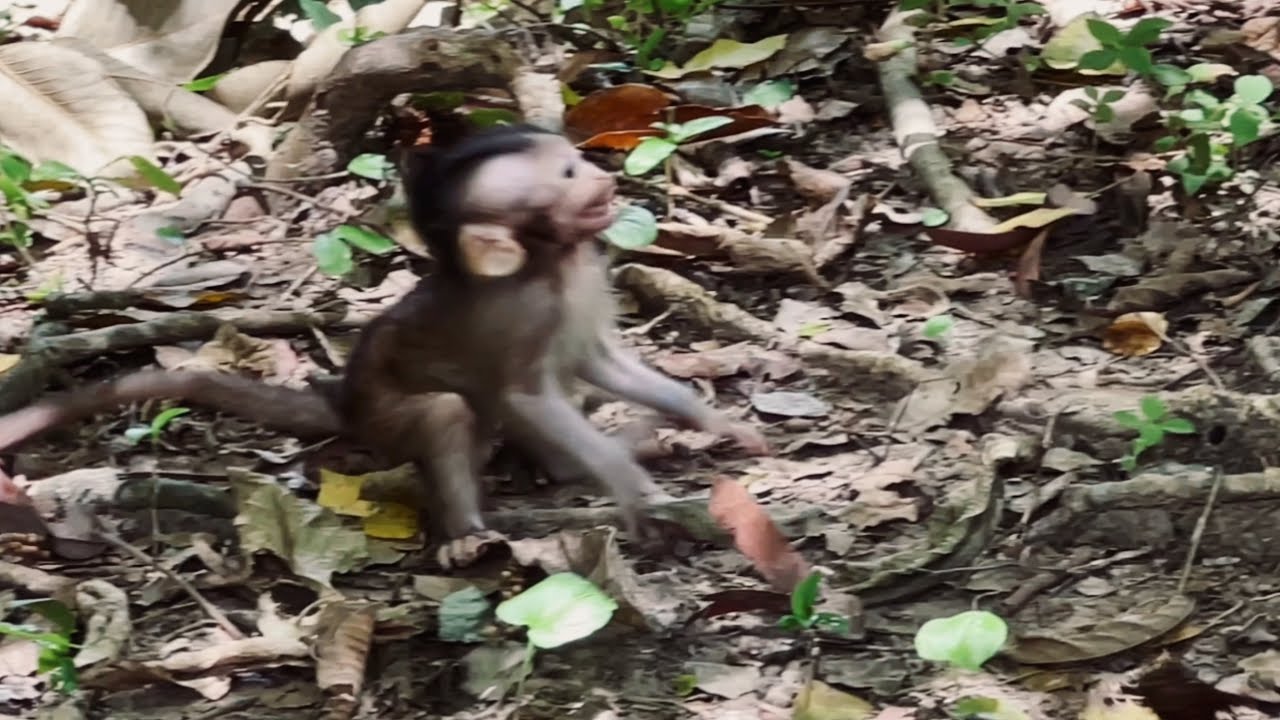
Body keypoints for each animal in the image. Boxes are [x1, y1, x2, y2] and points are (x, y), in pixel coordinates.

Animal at [0, 124, 768, 565]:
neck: (549, 263)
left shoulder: (587, 274)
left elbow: (596, 363)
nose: (606, 177)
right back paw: (466, 533)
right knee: (451, 413)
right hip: (384, 411)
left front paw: (709, 420)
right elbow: (524, 391)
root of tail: (344, 397)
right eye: (570, 177)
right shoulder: (525, 310)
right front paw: (631, 488)